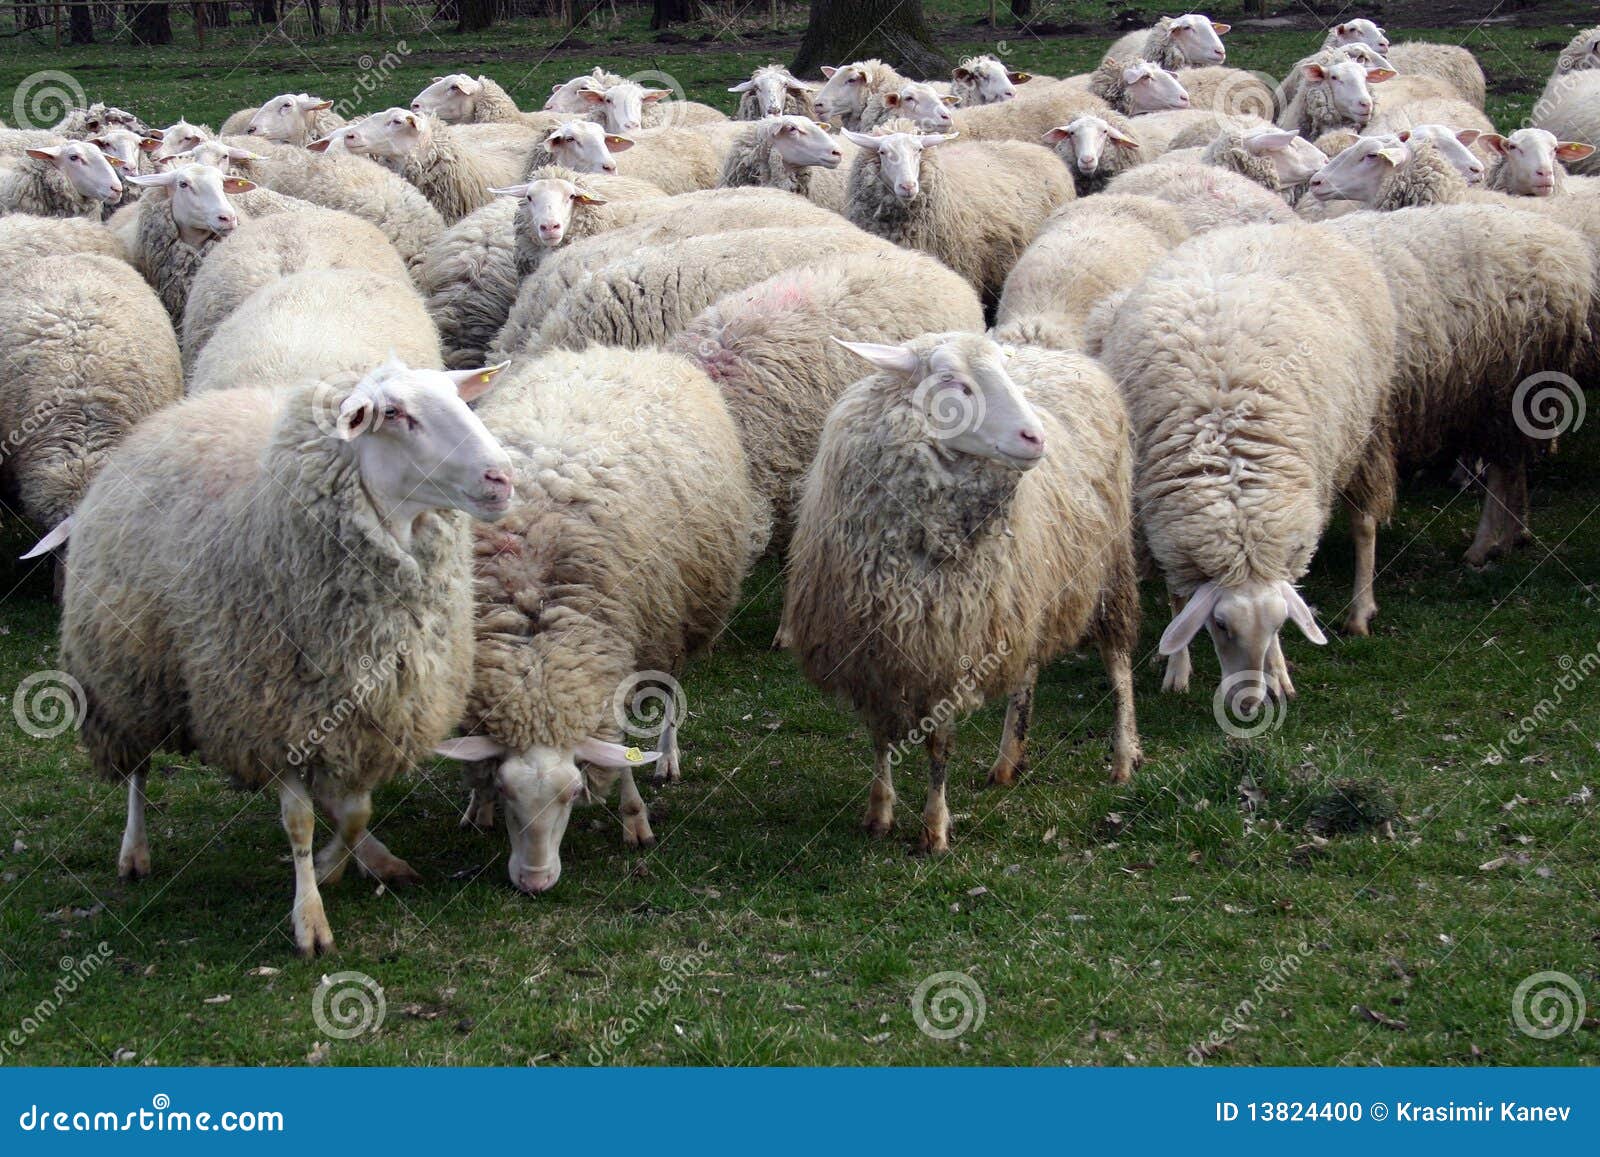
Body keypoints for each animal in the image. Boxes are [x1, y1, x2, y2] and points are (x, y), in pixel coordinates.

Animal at [56, 358, 514, 954]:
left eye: (457, 396)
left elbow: (355, 811)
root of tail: (175, 412)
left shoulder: (364, 712)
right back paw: (134, 852)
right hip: (128, 671)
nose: (502, 477)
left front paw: (339, 863)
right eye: (394, 414)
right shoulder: (276, 713)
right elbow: (299, 823)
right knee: (138, 769)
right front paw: (310, 916)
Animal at [431, 346, 765, 886]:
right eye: (505, 792)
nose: (534, 882)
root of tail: (624, 351)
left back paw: (667, 756)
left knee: (668, 694)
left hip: (675, 621)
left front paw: (635, 818)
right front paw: (476, 805)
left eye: (572, 793)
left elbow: (620, 752)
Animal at [782, 333, 1143, 851]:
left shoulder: (951, 646)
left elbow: (939, 744)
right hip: (1023, 590)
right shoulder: (871, 651)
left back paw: (1123, 756)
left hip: (1110, 566)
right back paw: (1008, 760)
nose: (1036, 438)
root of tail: (1066, 357)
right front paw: (879, 813)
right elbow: (879, 736)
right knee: (1027, 672)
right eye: (953, 381)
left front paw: (934, 828)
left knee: (1118, 664)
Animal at [1097, 223, 1398, 708]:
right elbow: (1179, 598)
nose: (1249, 702)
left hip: (1364, 431)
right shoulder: (1166, 523)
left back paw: (1359, 610)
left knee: (1365, 524)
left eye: (1279, 627)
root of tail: (1274, 225)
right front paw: (1177, 669)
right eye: (1219, 625)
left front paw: (1279, 674)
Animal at [1325, 205, 1594, 566]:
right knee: (1513, 461)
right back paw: (1514, 536)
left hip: (1505, 387)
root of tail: (1567, 244)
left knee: (1501, 469)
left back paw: (1482, 547)